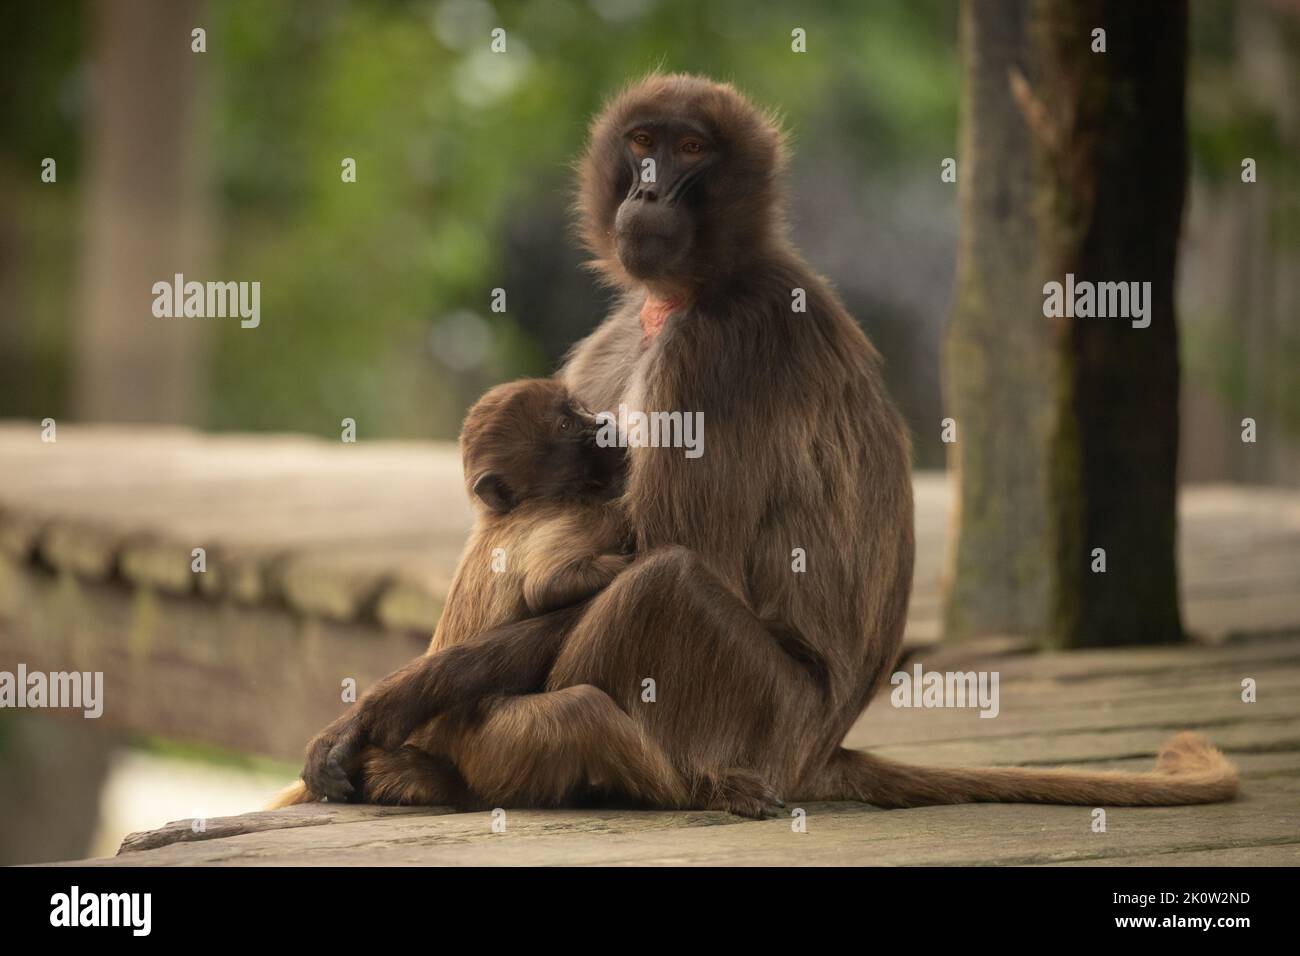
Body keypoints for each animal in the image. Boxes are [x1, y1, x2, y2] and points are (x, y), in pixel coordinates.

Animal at [279, 74, 1236, 818]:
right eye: (642, 142)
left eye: (690, 147)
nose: (650, 191)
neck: (693, 291)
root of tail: (819, 749)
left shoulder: (720, 353)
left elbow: (654, 552)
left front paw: (388, 707)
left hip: (761, 714)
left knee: (664, 586)